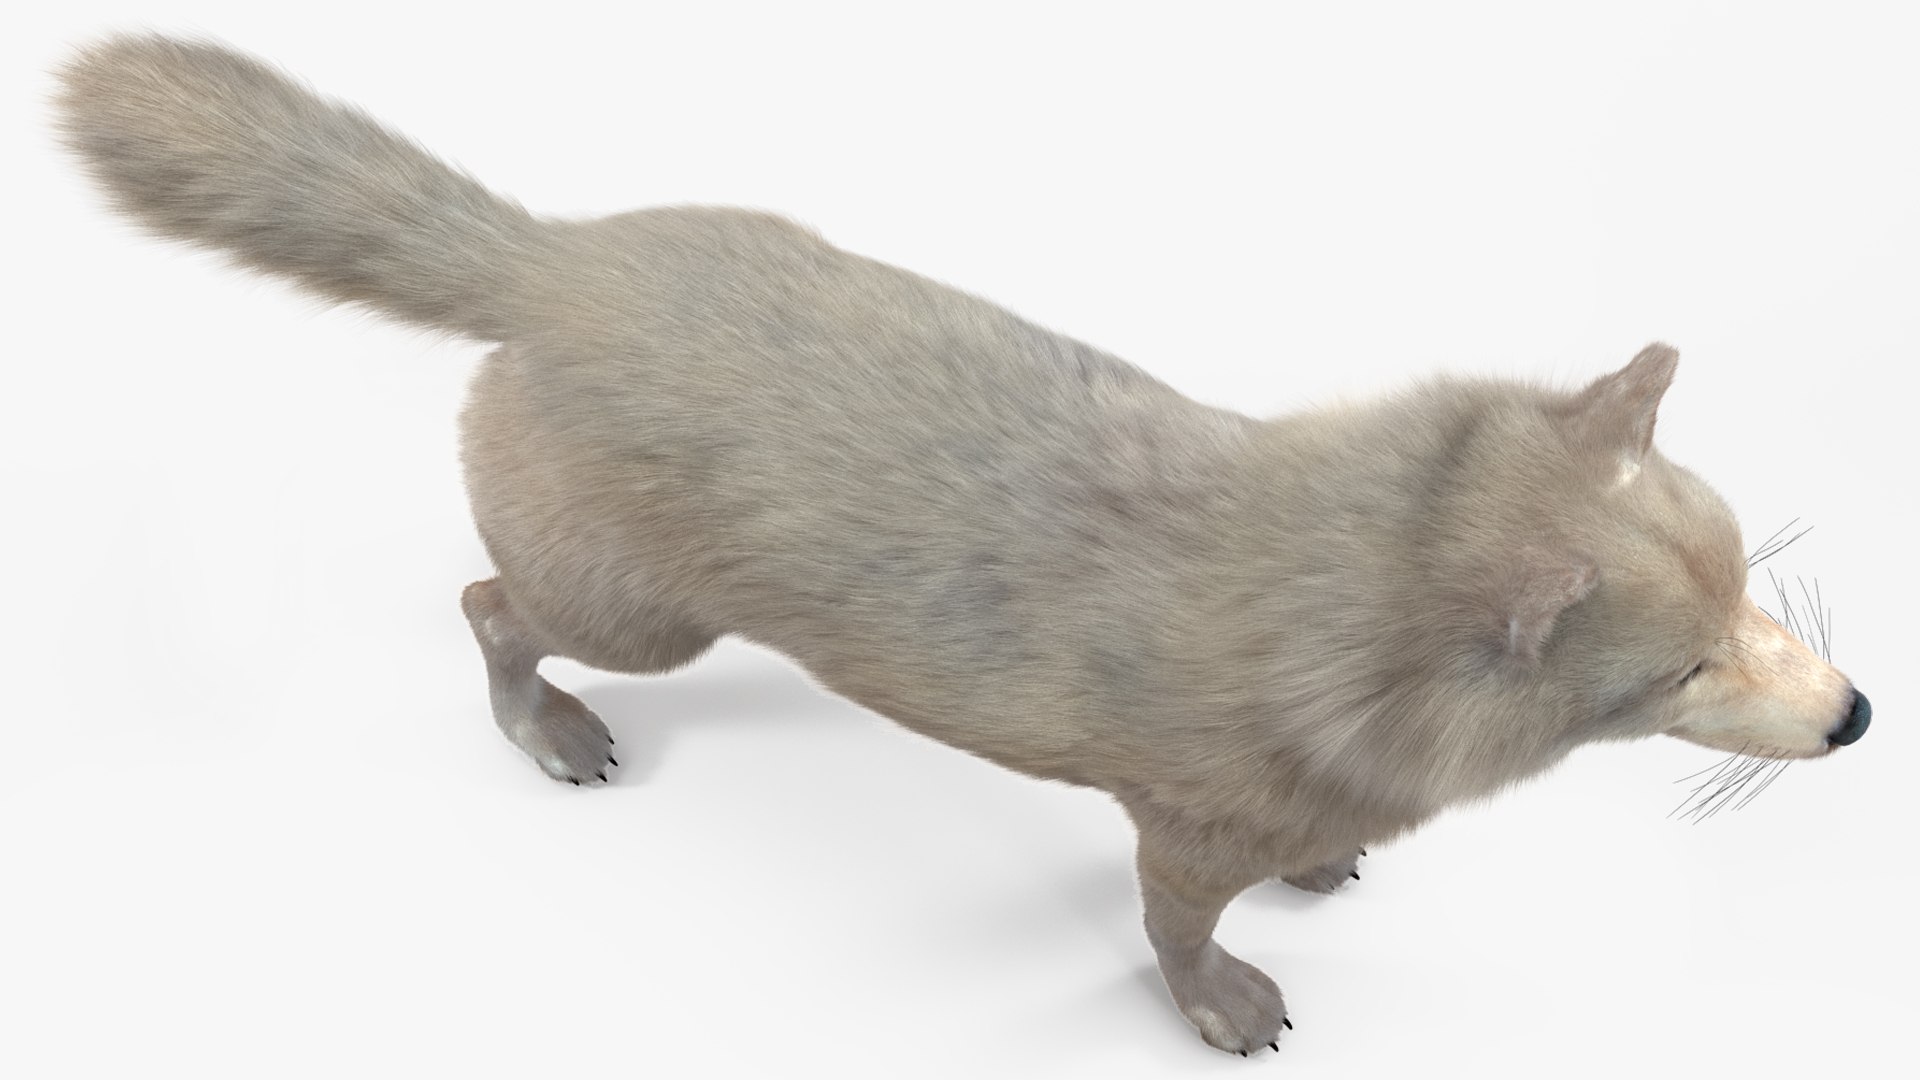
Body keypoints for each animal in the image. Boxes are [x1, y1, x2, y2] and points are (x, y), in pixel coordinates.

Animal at [55, 34, 1870, 1055]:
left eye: (1745, 581)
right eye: (1681, 666)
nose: (1854, 713)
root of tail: (556, 261)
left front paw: (1324, 870)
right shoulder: (1183, 813)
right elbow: (1171, 919)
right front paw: (1227, 1006)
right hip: (637, 610)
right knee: (488, 595)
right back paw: (553, 730)